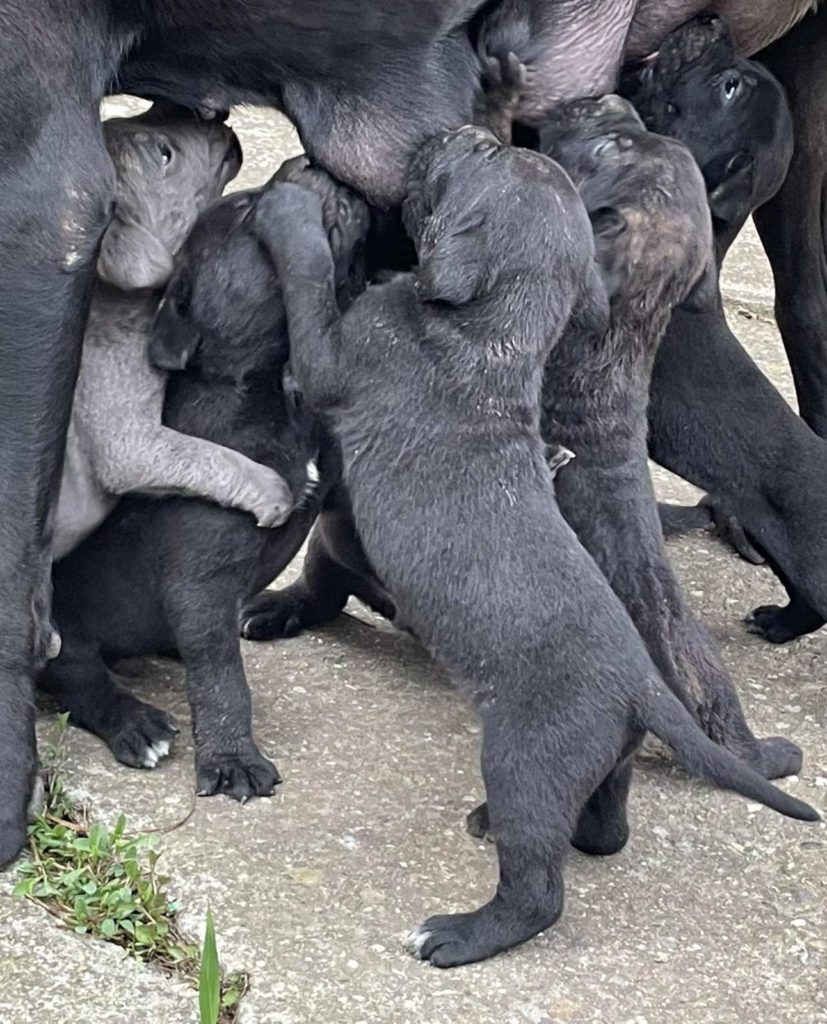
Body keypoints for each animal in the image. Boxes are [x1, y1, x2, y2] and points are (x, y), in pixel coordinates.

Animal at [39, 163, 368, 794]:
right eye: (244, 212)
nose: (303, 165)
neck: (264, 387)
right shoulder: (202, 585)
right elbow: (222, 680)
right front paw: (232, 758)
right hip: (58, 628)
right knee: (79, 679)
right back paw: (136, 724)